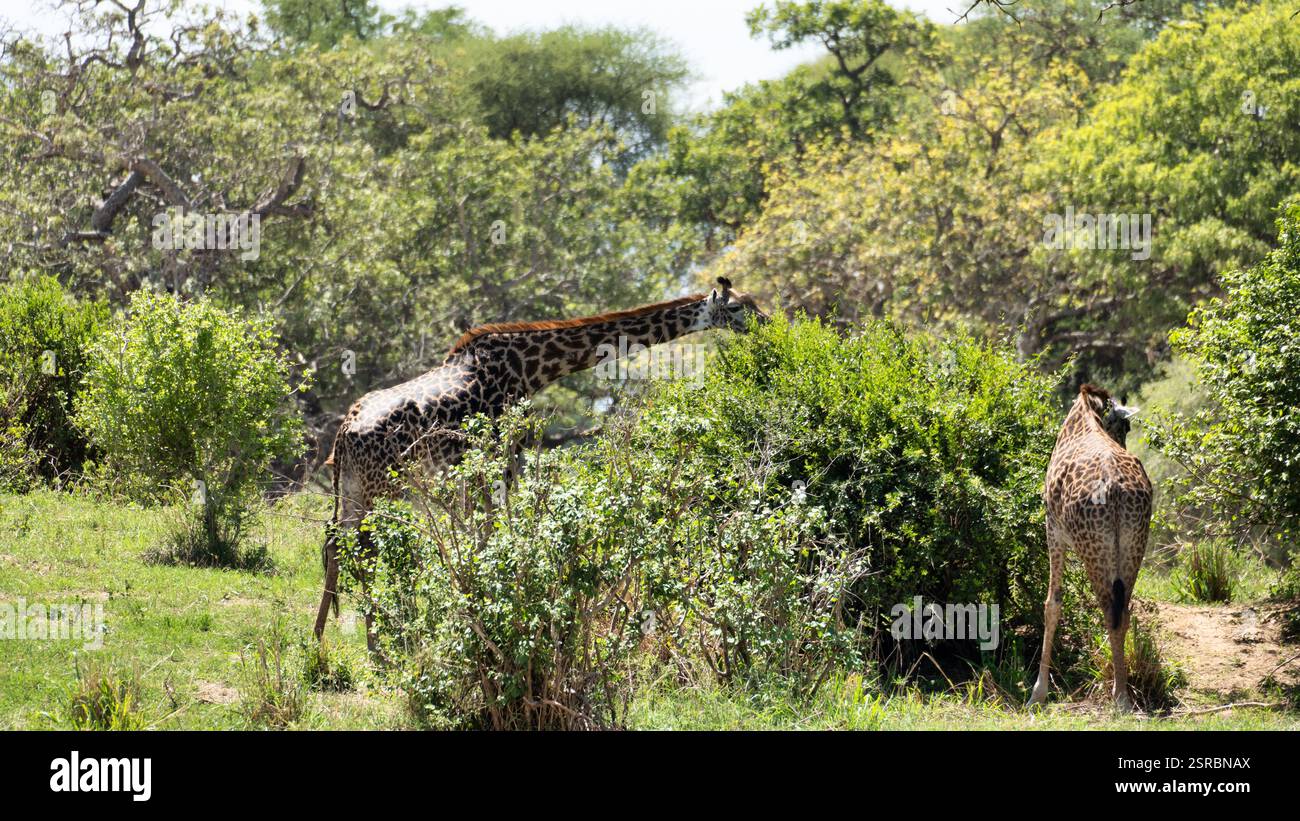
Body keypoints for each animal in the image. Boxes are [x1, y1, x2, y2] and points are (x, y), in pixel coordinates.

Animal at [313, 278, 767, 647]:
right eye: (737, 307)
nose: (767, 322)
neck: (529, 368)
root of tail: (344, 432)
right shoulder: (503, 457)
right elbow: (491, 536)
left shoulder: (477, 468)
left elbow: (481, 537)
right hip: (382, 488)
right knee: (361, 551)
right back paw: (377, 647)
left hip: (353, 487)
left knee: (337, 544)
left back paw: (321, 641)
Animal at [1029, 383, 1152, 711]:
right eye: (1126, 426)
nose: (1123, 440)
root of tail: (1117, 489)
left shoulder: (1053, 530)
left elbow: (1052, 604)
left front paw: (1038, 693)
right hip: (1135, 544)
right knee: (1123, 613)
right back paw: (1122, 694)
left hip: (1092, 548)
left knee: (1110, 609)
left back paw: (1120, 698)